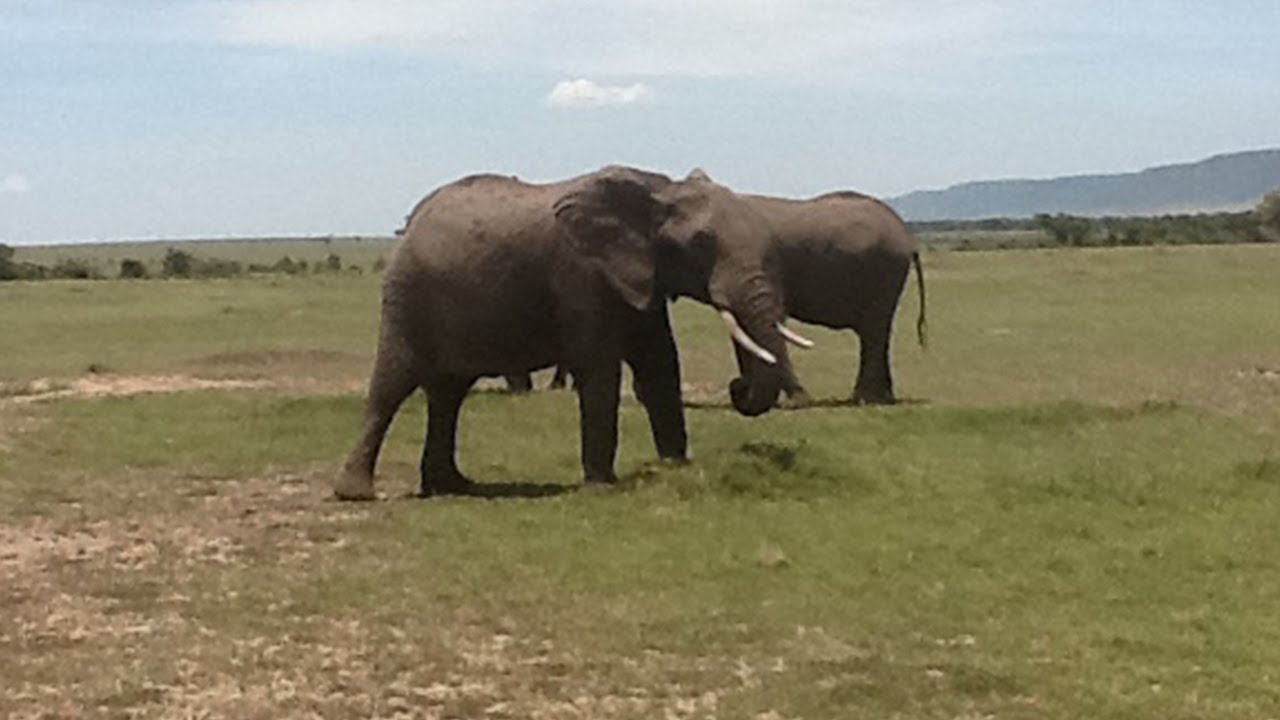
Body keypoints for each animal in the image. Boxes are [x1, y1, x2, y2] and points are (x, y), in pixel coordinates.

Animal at [334, 166, 802, 500]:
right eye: (702, 243)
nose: (737, 386)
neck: (657, 188)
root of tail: (412, 221)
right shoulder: (583, 275)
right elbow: (601, 372)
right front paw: (601, 487)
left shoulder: (639, 279)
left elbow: (660, 365)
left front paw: (674, 469)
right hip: (407, 295)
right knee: (392, 386)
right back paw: (357, 493)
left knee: (448, 395)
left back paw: (453, 486)